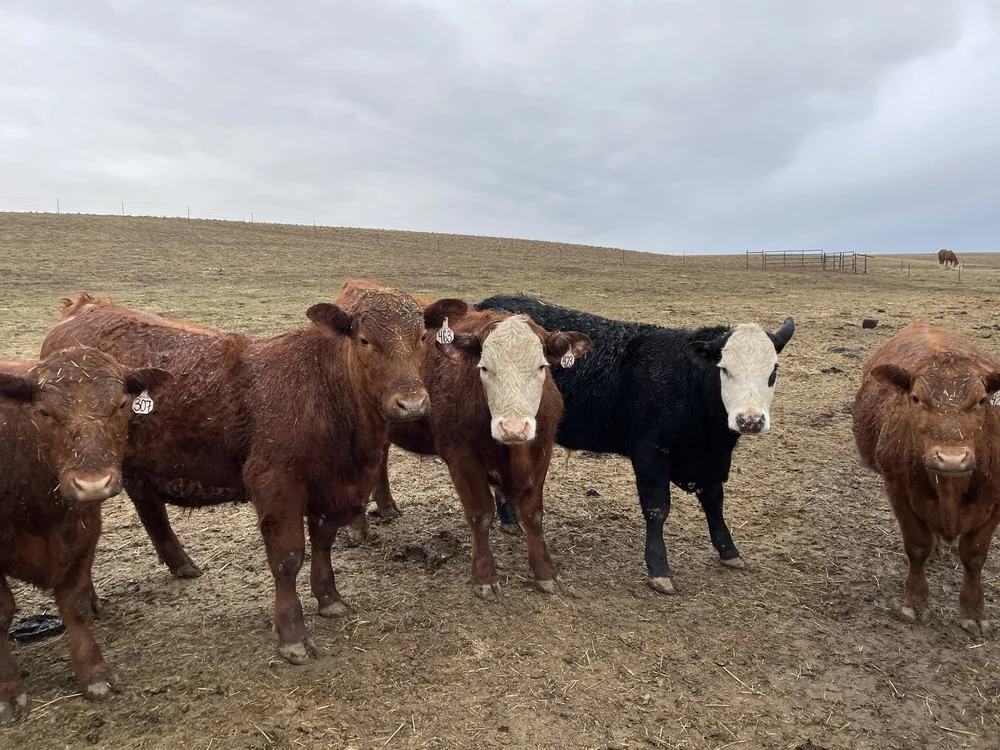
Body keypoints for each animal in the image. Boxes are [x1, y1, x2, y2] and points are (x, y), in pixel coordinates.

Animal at [0, 348, 170, 721]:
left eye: (121, 404)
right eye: (44, 411)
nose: (92, 484)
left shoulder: (83, 533)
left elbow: (75, 604)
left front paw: (94, 673)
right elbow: (1, 613)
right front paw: (7, 691)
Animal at [40, 290, 467, 664]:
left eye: (422, 337)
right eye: (364, 340)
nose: (411, 403)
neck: (325, 392)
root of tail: (83, 307)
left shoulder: (332, 485)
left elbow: (324, 541)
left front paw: (329, 599)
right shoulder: (275, 482)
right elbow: (288, 557)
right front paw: (293, 635)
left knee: (148, 504)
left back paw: (180, 563)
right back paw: (92, 597)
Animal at [477, 295, 794, 595]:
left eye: (773, 372)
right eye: (724, 369)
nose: (750, 420)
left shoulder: (712, 461)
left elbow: (714, 503)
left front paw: (729, 551)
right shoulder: (650, 455)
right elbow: (657, 508)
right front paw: (659, 569)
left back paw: (509, 519)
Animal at [852, 322, 1000, 635]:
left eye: (982, 400)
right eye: (916, 398)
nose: (952, 458)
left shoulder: (996, 500)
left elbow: (975, 555)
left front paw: (974, 611)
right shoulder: (897, 487)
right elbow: (917, 546)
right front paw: (916, 602)